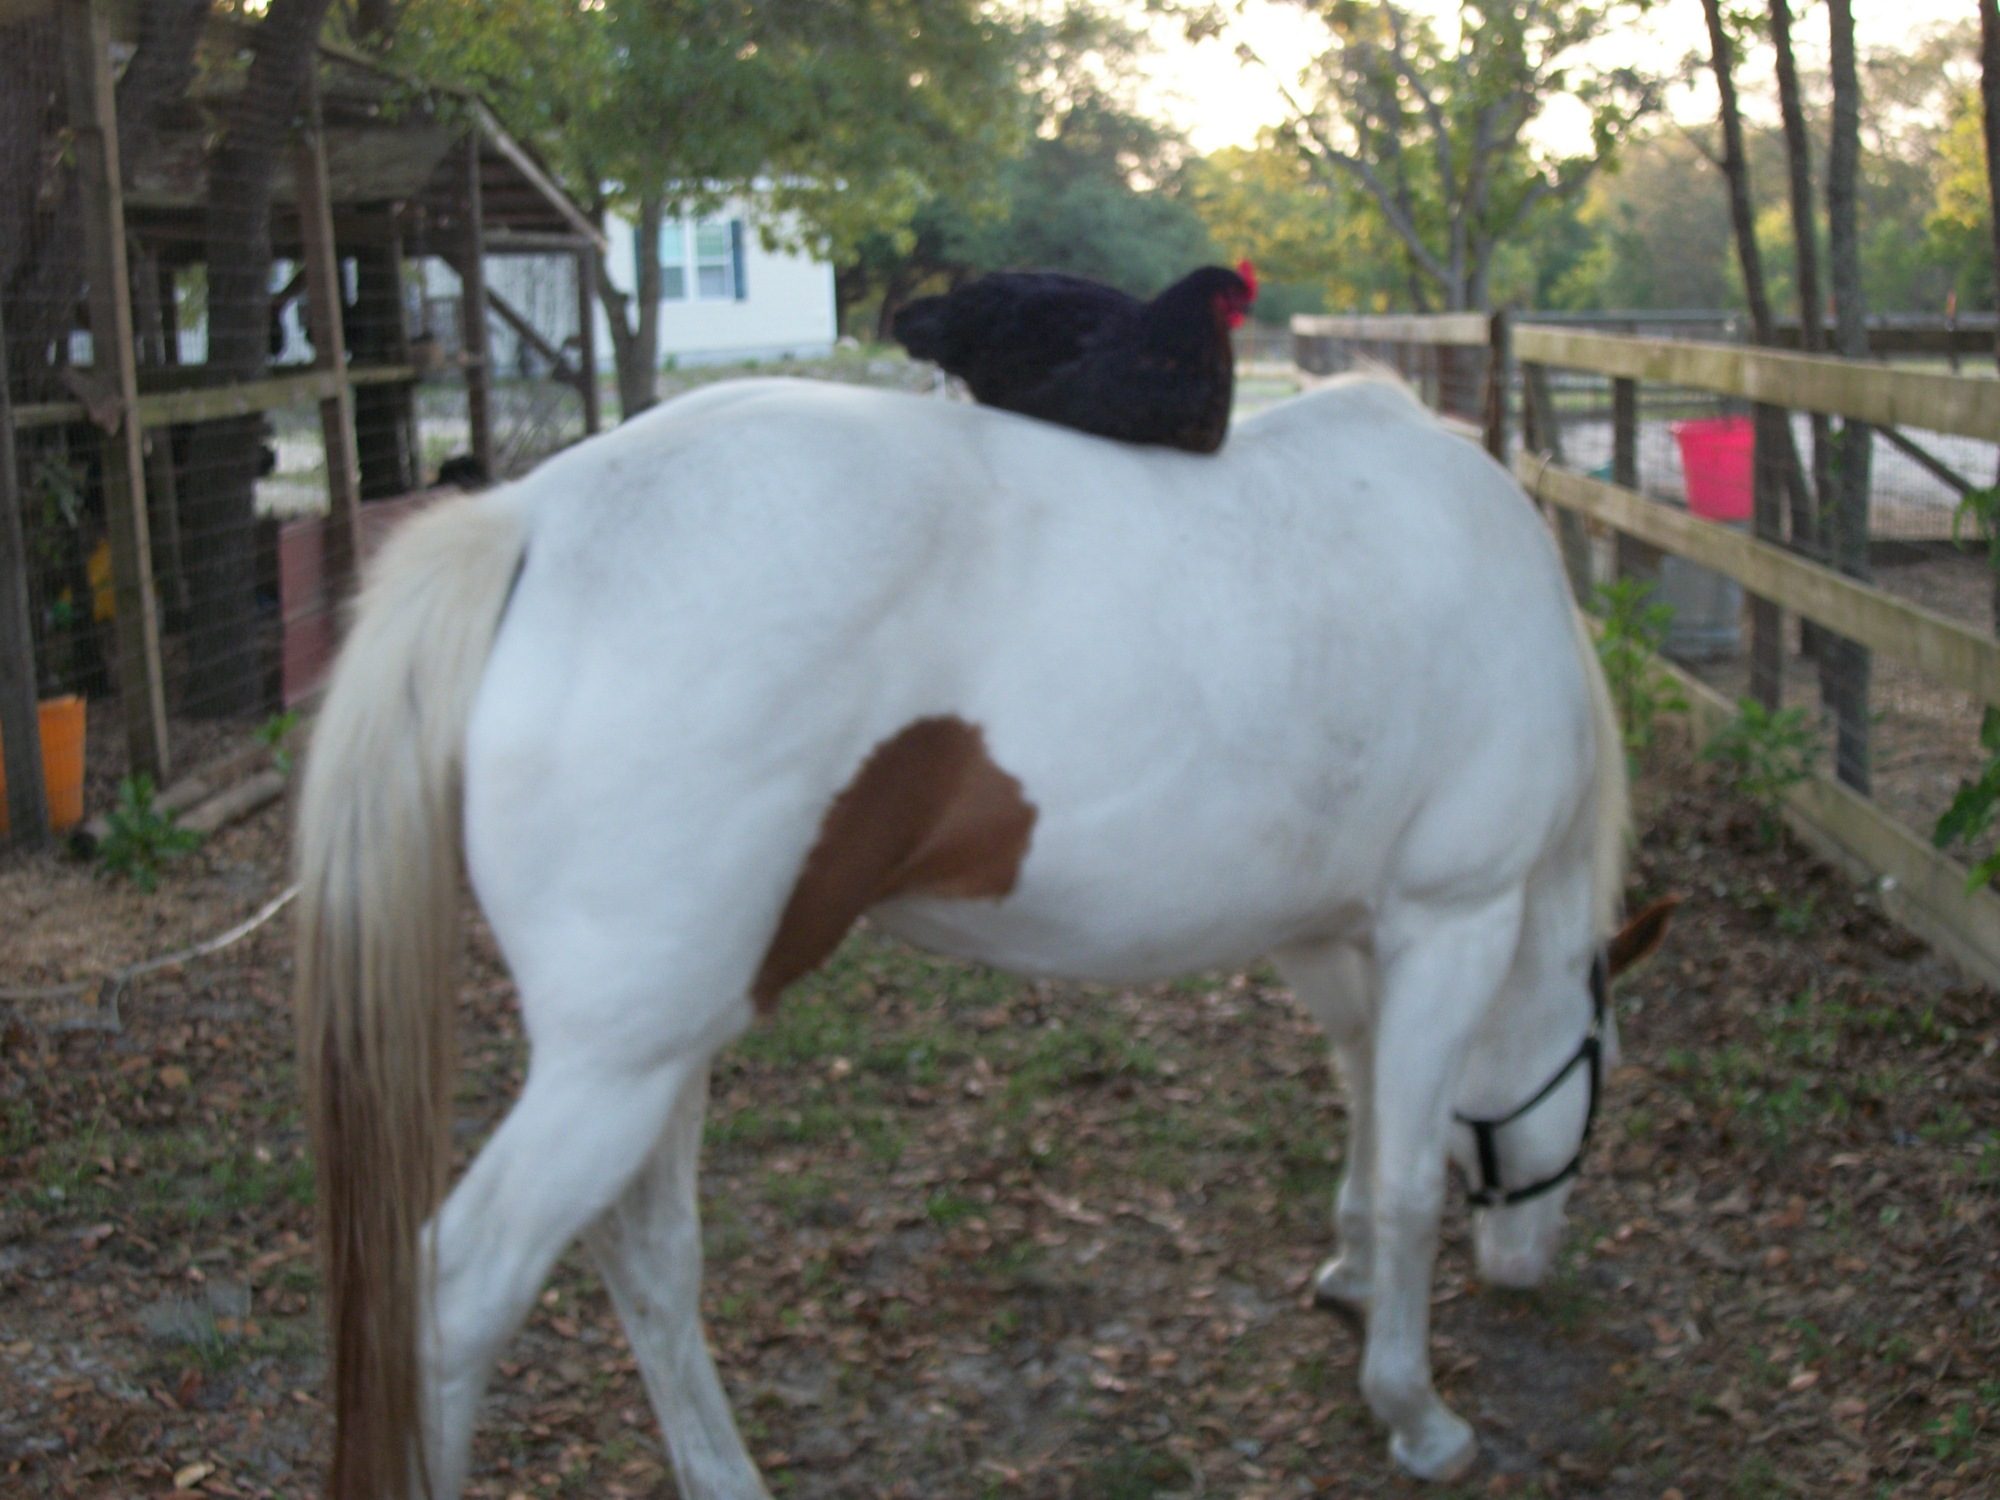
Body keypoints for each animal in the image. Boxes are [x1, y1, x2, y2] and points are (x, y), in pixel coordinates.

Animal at [295, 373, 1671, 1496]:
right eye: (1601, 1068)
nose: (1526, 1262)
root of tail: (536, 519)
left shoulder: (1332, 937)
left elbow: (1367, 1100)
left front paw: (1347, 1275)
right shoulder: (1452, 919)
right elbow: (1405, 1176)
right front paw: (1413, 1410)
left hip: (659, 1047)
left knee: (649, 1260)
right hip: (615, 1067)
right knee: (457, 1298)